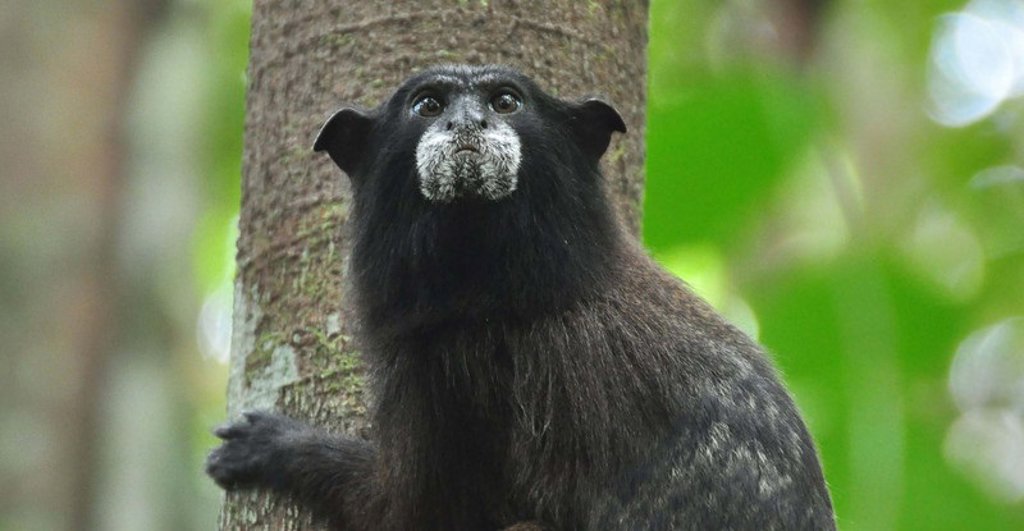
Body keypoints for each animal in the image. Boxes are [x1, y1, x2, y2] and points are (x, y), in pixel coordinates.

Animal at [206, 64, 836, 530]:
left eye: (505, 101)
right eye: (428, 105)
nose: (469, 120)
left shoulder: (445, 369)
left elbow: (411, 511)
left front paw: (279, 449)